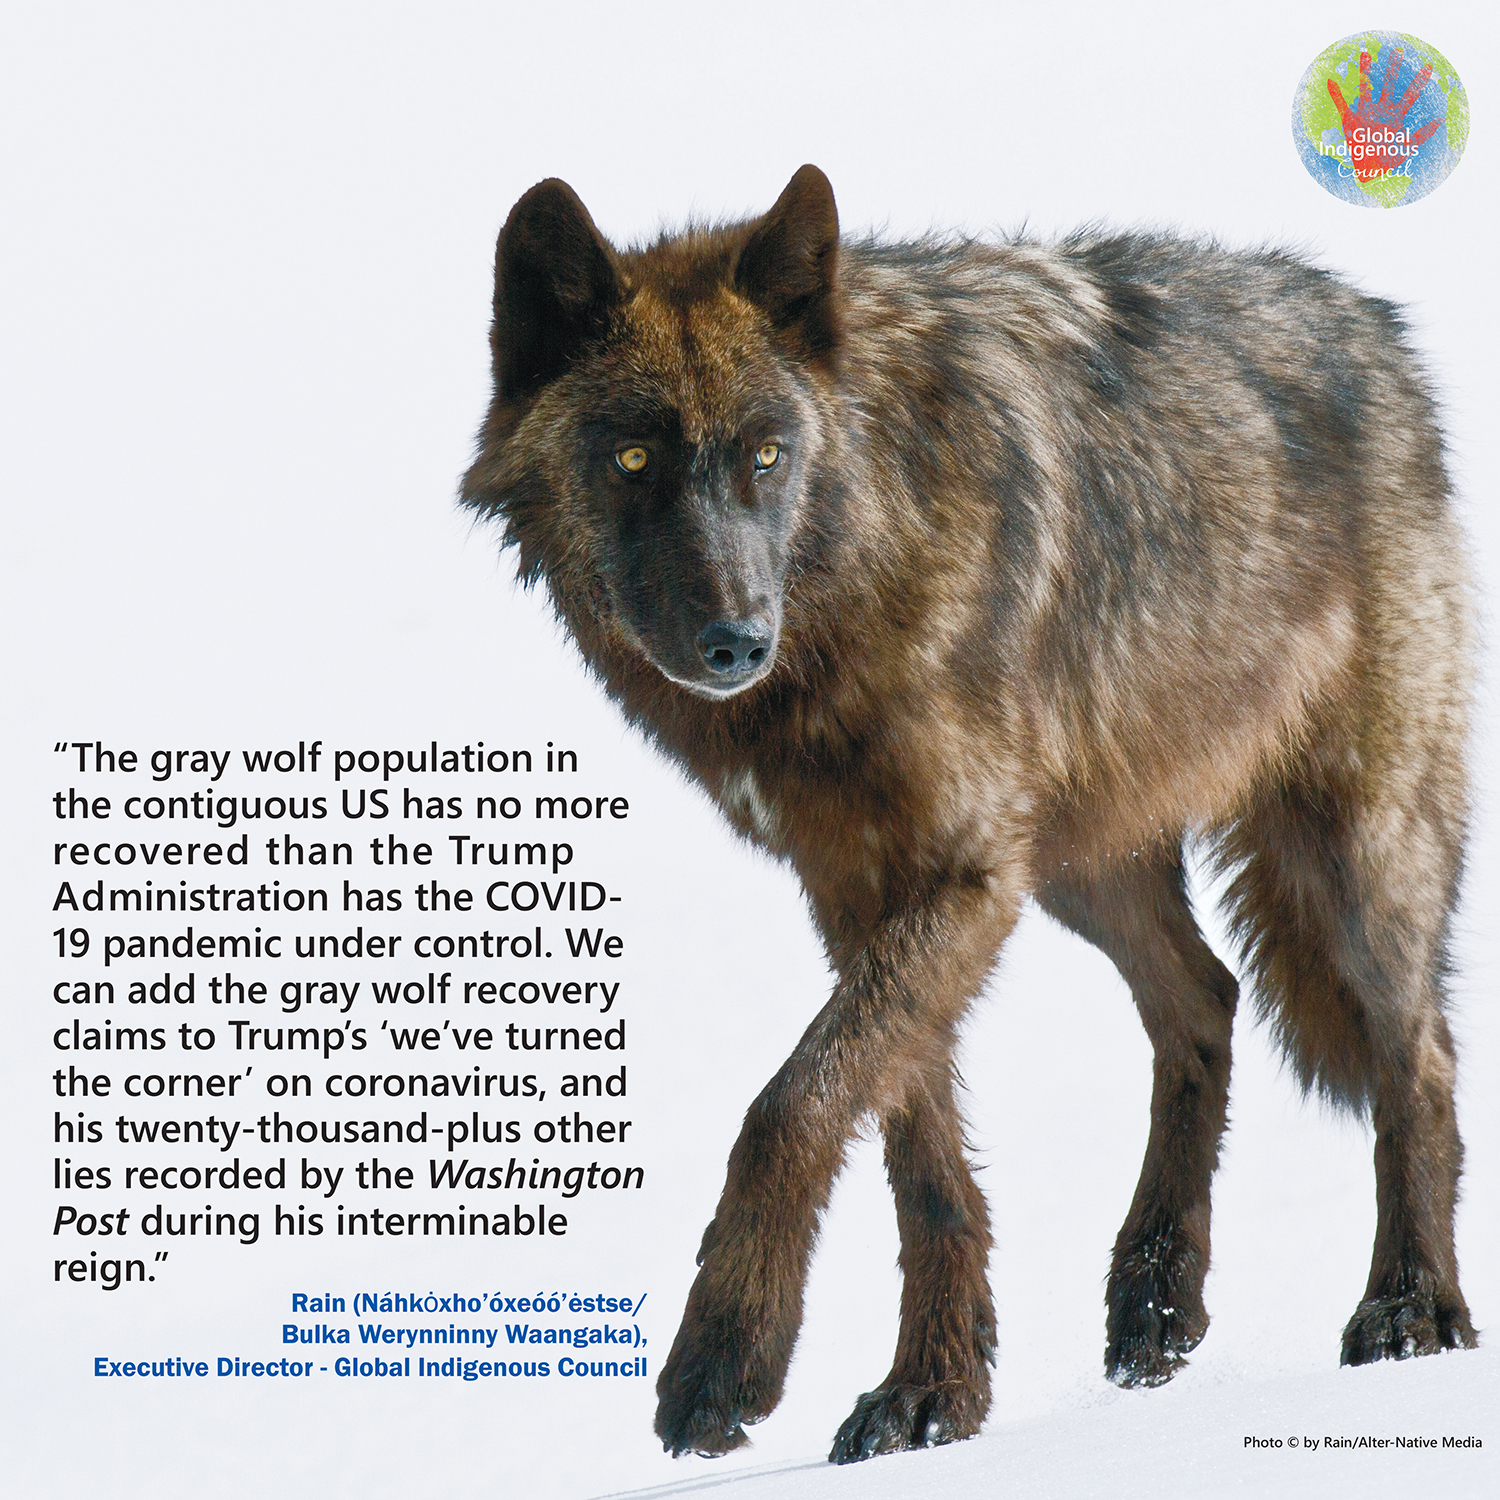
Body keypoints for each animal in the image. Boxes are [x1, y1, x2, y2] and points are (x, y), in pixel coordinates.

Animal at [461, 165, 1478, 1463]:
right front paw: (933, 1389)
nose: (736, 642)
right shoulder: (860, 882)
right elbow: (915, 1155)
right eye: (634, 457)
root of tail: (1377, 327)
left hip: (1352, 857)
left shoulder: (961, 876)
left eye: (767, 453)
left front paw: (724, 1363)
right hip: (1085, 867)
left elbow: (791, 1106)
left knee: (1419, 1058)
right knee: (1206, 998)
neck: (856, 571)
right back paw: (1156, 1300)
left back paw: (1410, 1307)